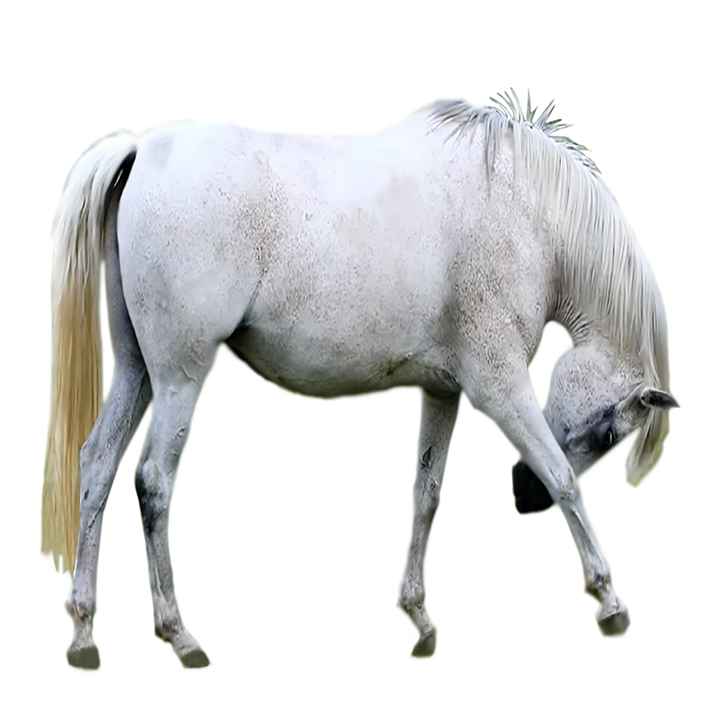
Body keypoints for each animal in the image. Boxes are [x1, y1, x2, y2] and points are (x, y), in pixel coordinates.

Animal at [39, 87, 679, 672]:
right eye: (608, 433)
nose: (523, 496)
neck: (518, 204)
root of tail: (141, 146)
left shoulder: (443, 392)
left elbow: (426, 497)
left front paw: (420, 620)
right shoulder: (501, 390)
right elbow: (566, 482)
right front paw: (609, 602)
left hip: (137, 372)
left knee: (97, 462)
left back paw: (83, 634)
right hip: (181, 375)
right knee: (152, 480)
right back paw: (180, 636)